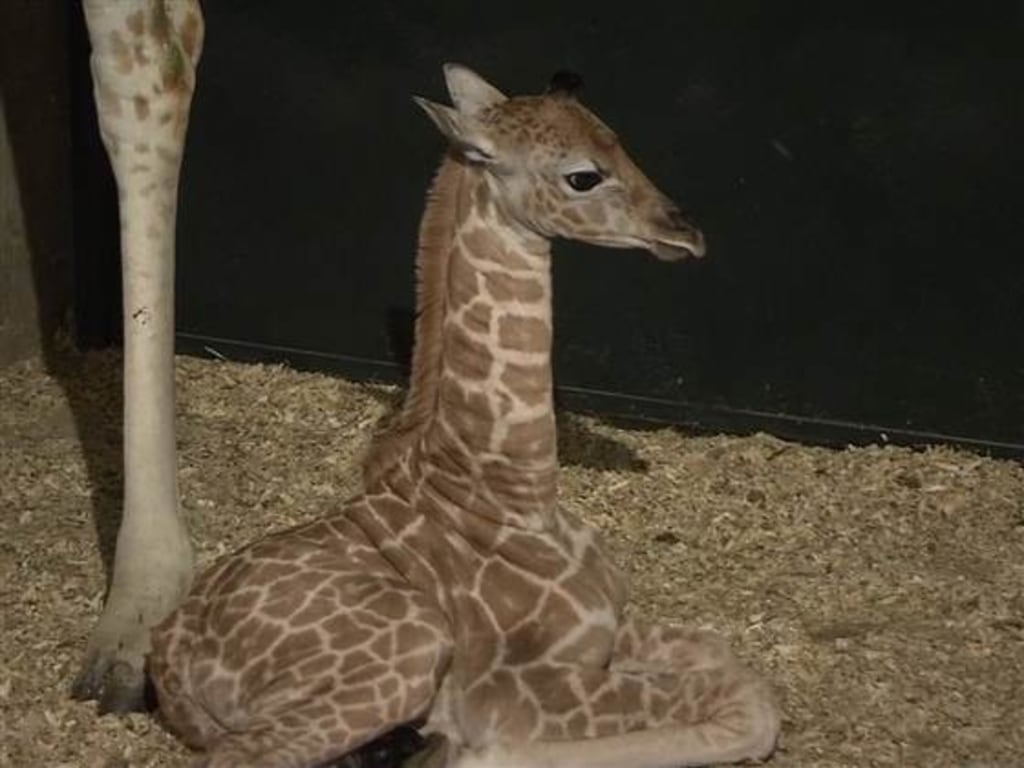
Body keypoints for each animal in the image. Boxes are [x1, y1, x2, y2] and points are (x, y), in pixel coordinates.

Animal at [145, 64, 780, 768]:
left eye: (617, 138)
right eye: (582, 176)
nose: (685, 232)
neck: (519, 495)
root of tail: (167, 656)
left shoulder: (612, 627)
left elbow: (733, 666)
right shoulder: (513, 689)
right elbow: (749, 707)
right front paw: (486, 752)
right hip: (410, 648)